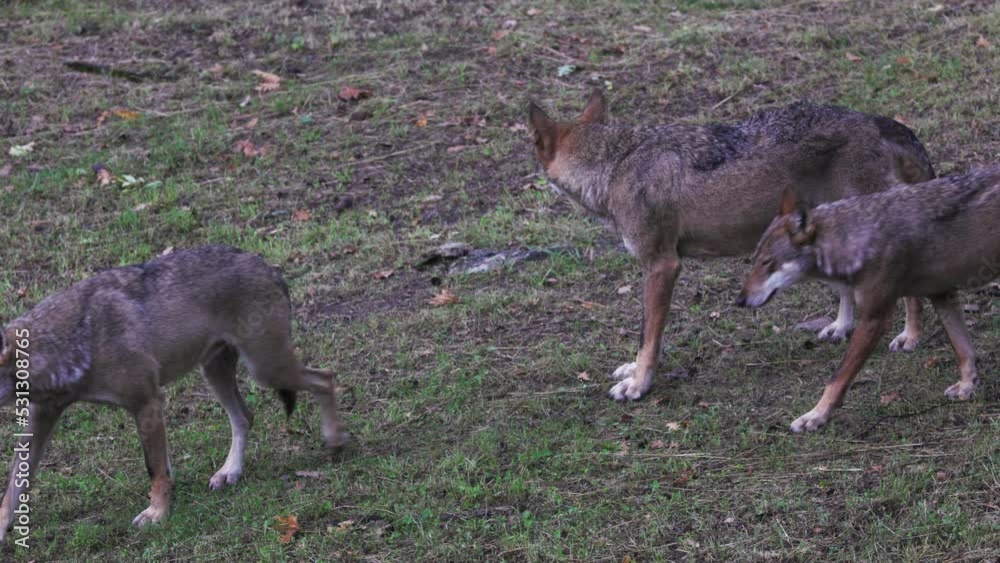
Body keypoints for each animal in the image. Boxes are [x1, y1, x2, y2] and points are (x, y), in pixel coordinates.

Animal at [0, 245, 346, 540]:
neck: (68, 340)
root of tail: (269, 267)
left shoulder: (147, 403)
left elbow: (155, 469)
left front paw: (157, 514)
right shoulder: (41, 416)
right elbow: (12, 486)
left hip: (266, 369)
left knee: (326, 378)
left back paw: (334, 443)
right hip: (217, 372)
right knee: (246, 417)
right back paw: (229, 472)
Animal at [528, 91, 935, 401]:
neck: (617, 164)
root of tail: (878, 120)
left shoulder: (662, 265)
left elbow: (649, 335)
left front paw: (638, 385)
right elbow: (648, 334)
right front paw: (633, 370)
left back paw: (911, 337)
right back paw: (840, 327)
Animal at [737, 167, 1000, 431]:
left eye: (767, 263)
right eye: (753, 261)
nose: (740, 300)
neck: (856, 238)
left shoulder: (875, 318)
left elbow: (838, 377)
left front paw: (816, 415)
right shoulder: (942, 295)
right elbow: (963, 350)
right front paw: (967, 386)